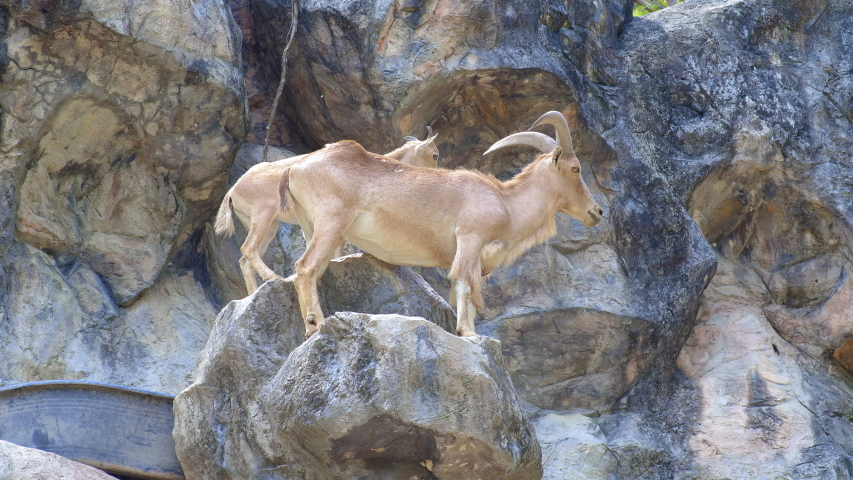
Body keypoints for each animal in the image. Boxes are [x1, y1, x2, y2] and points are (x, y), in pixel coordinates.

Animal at [214, 129, 439, 294]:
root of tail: (233, 191)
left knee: (245, 259)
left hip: (268, 226)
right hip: (263, 216)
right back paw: (274, 277)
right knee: (248, 248)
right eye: (435, 155)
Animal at [280, 111, 603, 338]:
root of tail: (295, 168)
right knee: (305, 267)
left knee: (309, 271)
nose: (597, 211)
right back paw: (317, 324)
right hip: (331, 222)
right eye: (576, 169)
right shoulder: (470, 238)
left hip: (312, 227)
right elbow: (463, 284)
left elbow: (471, 294)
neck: (506, 203)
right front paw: (468, 334)